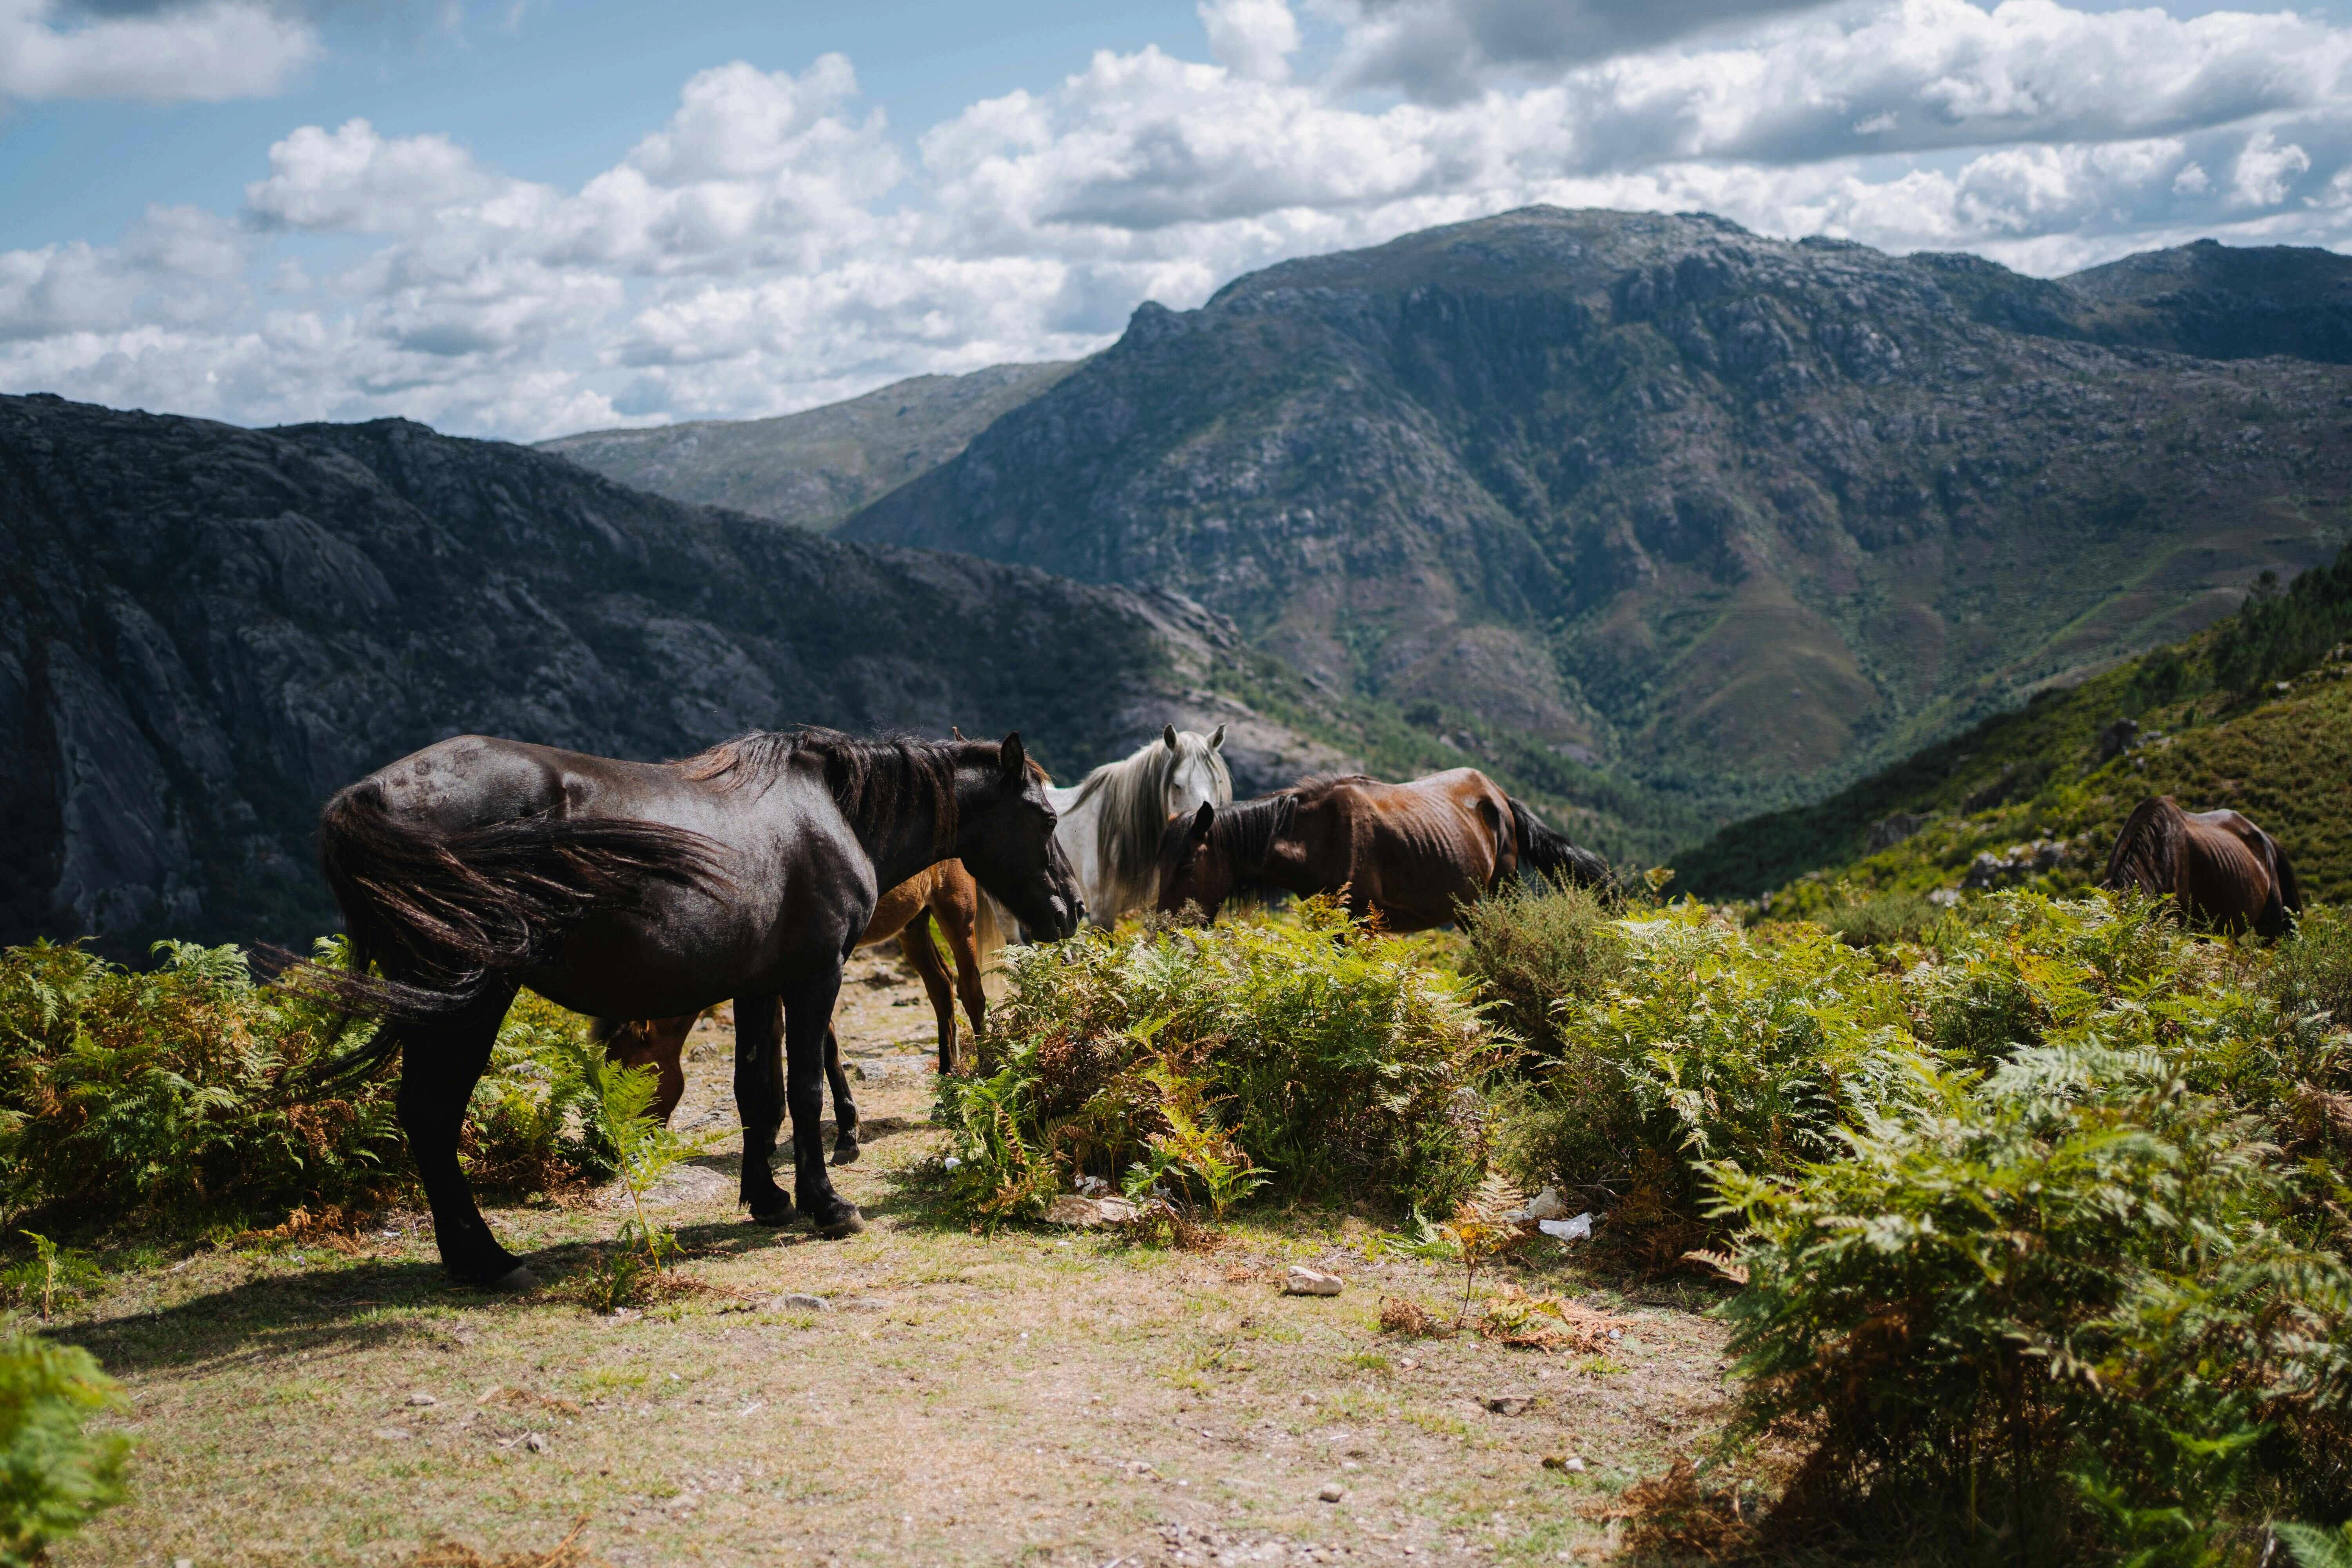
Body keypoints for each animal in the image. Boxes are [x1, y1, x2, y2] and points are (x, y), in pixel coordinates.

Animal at [593, 858, 1005, 1159]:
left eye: (628, 1074)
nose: (617, 1147)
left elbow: (824, 1044)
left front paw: (847, 1134)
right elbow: (776, 1037)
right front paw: (771, 1126)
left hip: (955, 910)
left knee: (971, 992)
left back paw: (985, 1075)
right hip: (913, 922)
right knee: (941, 989)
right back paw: (947, 1085)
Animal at [1154, 769, 1611, 932]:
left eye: (1189, 863)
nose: (1164, 931)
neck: (1318, 838)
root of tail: (1499, 796)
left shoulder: (1361, 923)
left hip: (1500, 896)